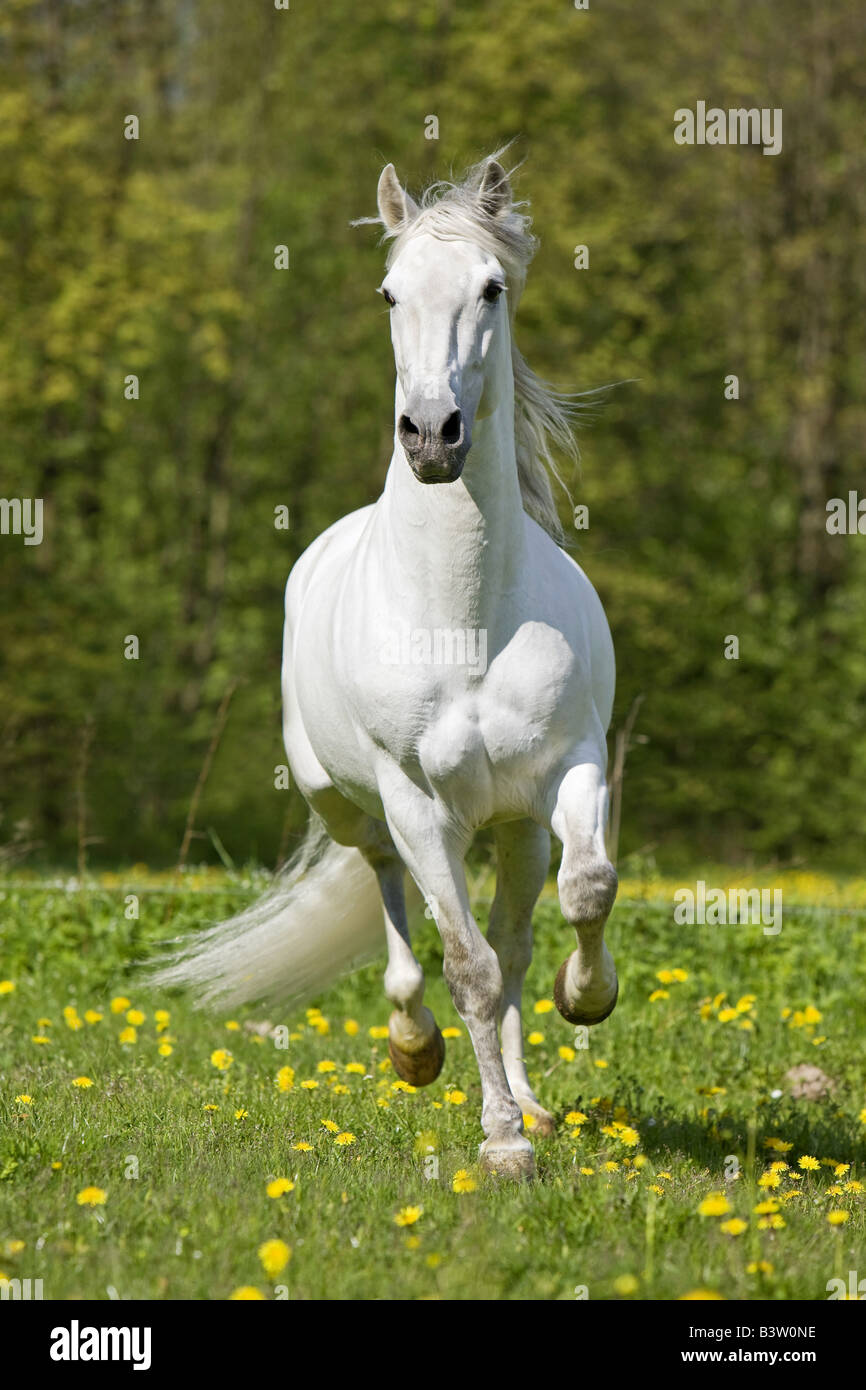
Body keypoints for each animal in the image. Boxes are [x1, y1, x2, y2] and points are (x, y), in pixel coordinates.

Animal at [157, 153, 619, 1179]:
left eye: (492, 288)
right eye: (388, 294)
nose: (433, 434)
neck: (464, 621)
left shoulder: (570, 769)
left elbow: (585, 893)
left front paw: (586, 1001)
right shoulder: (417, 806)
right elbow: (466, 969)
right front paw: (499, 1147)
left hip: (512, 826)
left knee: (518, 935)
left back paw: (530, 1099)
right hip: (347, 802)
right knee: (394, 906)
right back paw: (419, 1050)